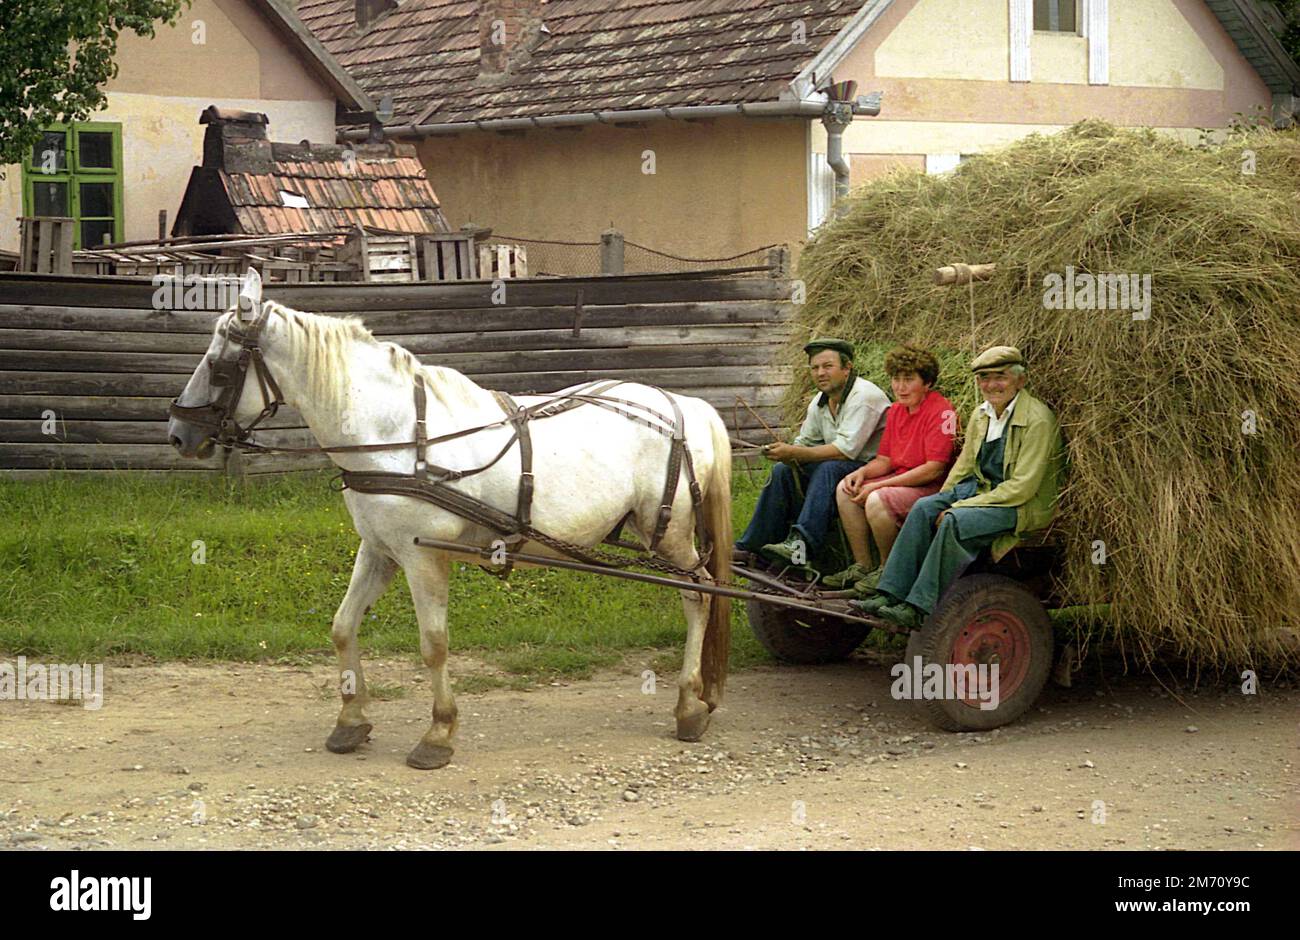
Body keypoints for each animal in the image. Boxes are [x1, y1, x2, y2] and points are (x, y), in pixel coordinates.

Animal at [166, 268, 733, 769]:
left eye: (218, 365)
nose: (178, 433)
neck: (397, 435)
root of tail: (684, 405)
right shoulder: (379, 550)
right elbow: (343, 628)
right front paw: (351, 720)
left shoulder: (424, 556)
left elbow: (434, 646)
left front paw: (438, 733)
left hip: (671, 536)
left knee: (700, 593)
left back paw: (689, 703)